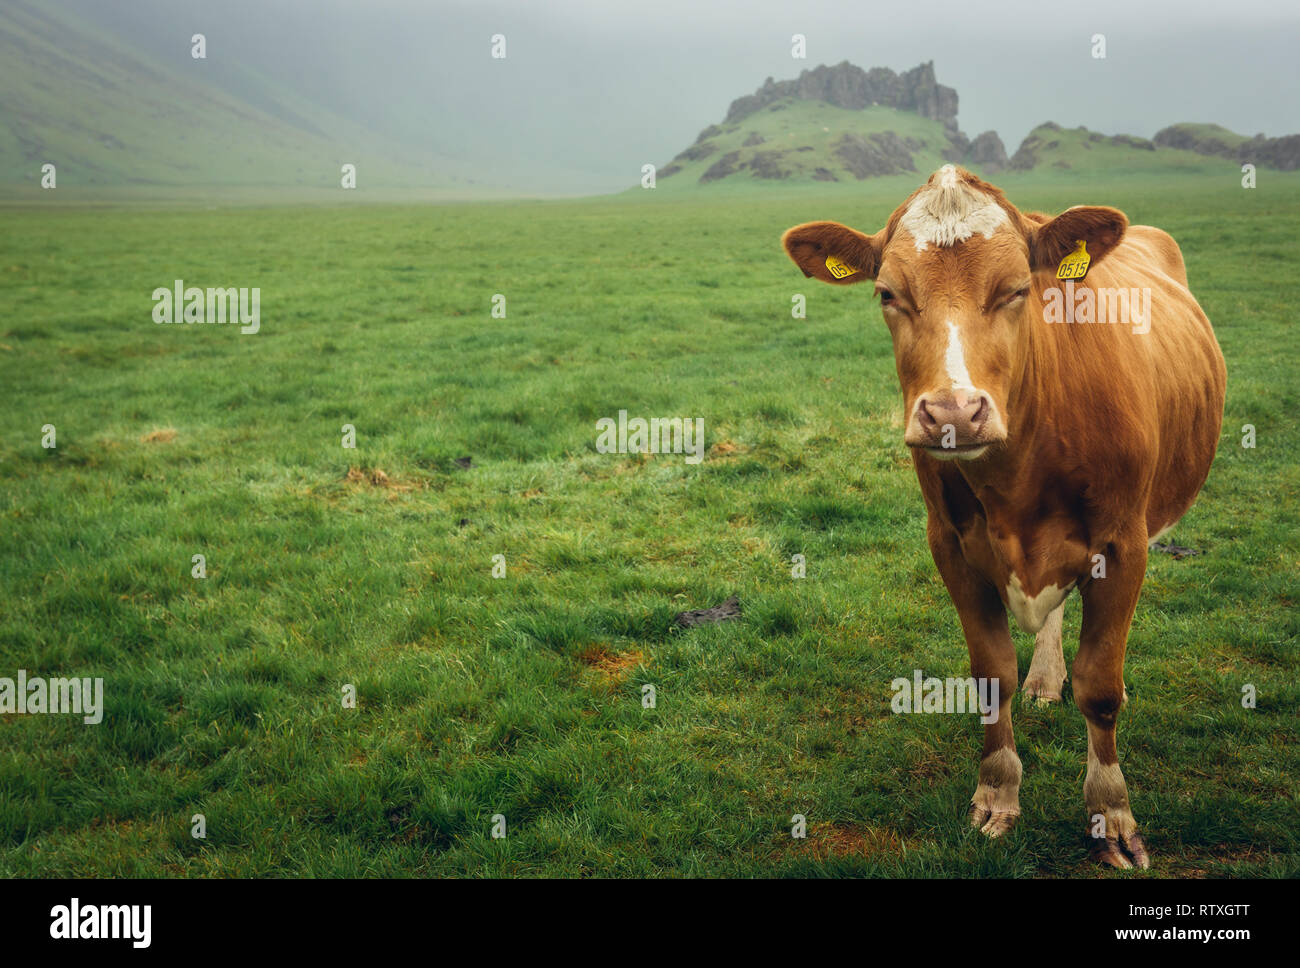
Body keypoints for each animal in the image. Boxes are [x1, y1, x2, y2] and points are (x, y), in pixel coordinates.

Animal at [781, 165, 1226, 868]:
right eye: (887, 293)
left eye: (1017, 289)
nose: (954, 414)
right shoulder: (952, 547)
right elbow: (992, 674)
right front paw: (997, 794)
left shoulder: (1123, 545)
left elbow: (1102, 686)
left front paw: (1112, 814)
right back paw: (1045, 677)